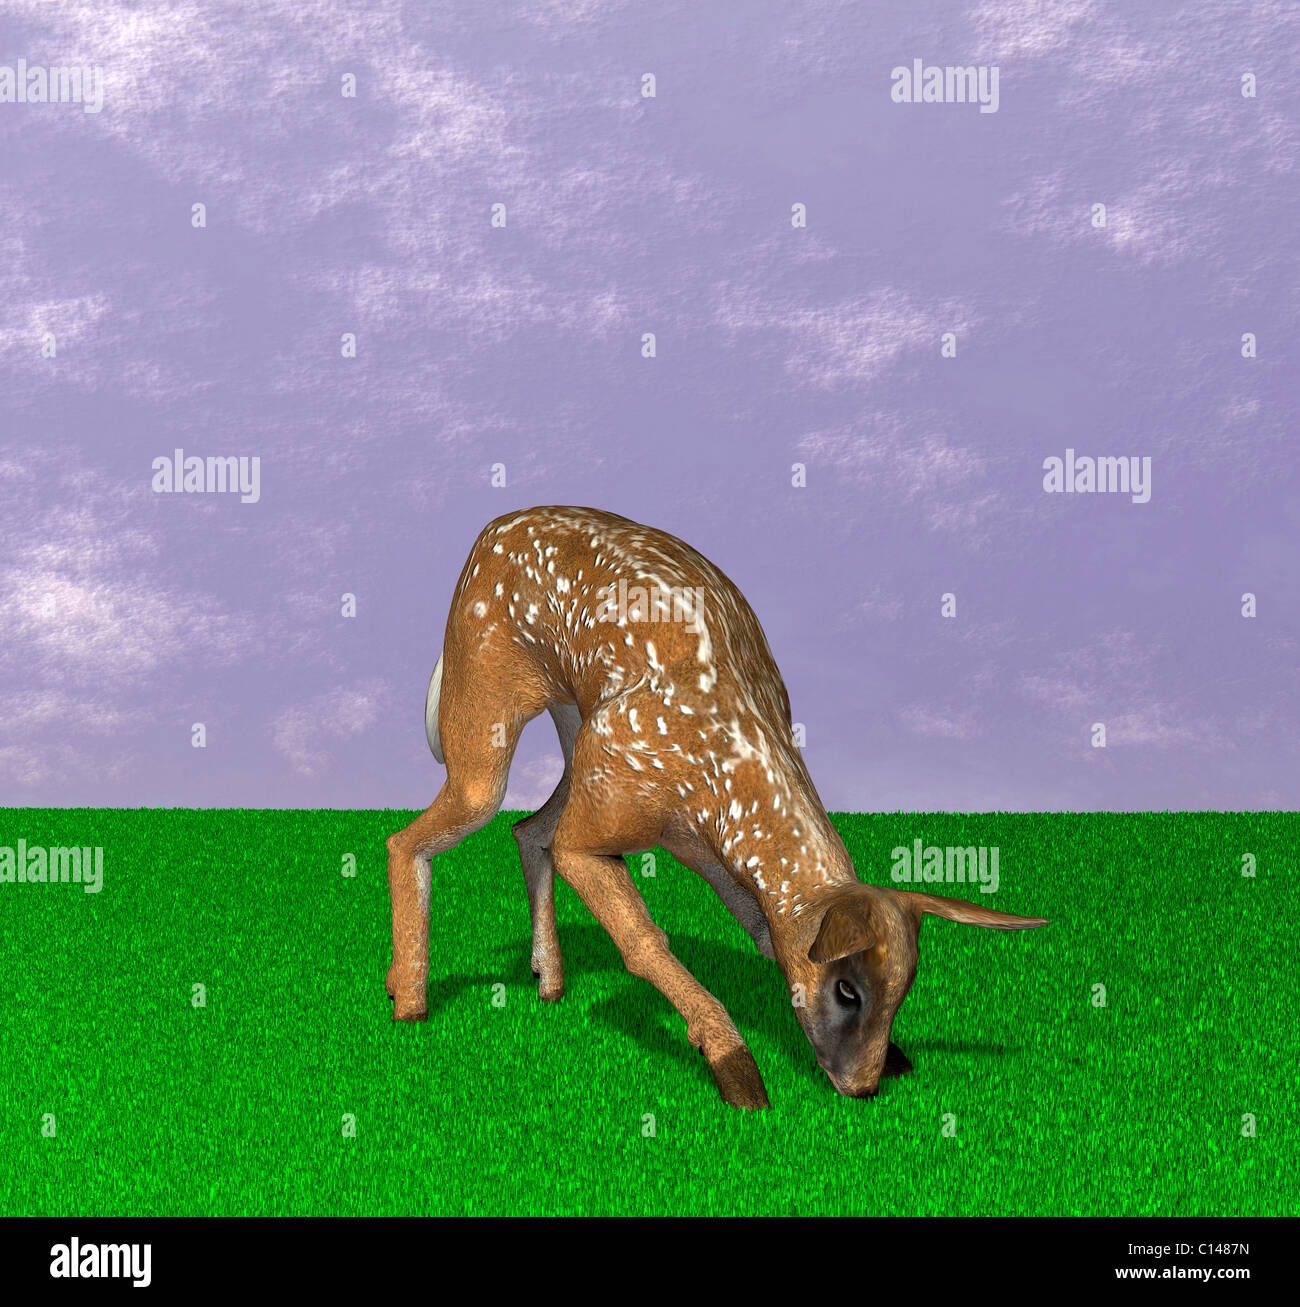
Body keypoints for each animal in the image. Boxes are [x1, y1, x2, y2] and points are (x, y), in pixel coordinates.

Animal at [385, 506, 1048, 1109]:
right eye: (847, 989)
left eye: (903, 990)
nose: (862, 1088)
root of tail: (490, 530)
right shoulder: (612, 814)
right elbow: (643, 939)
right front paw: (737, 1071)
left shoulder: (700, 844)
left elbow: (765, 932)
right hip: (490, 698)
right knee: (417, 834)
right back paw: (408, 998)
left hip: (582, 736)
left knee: (528, 828)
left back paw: (548, 979)